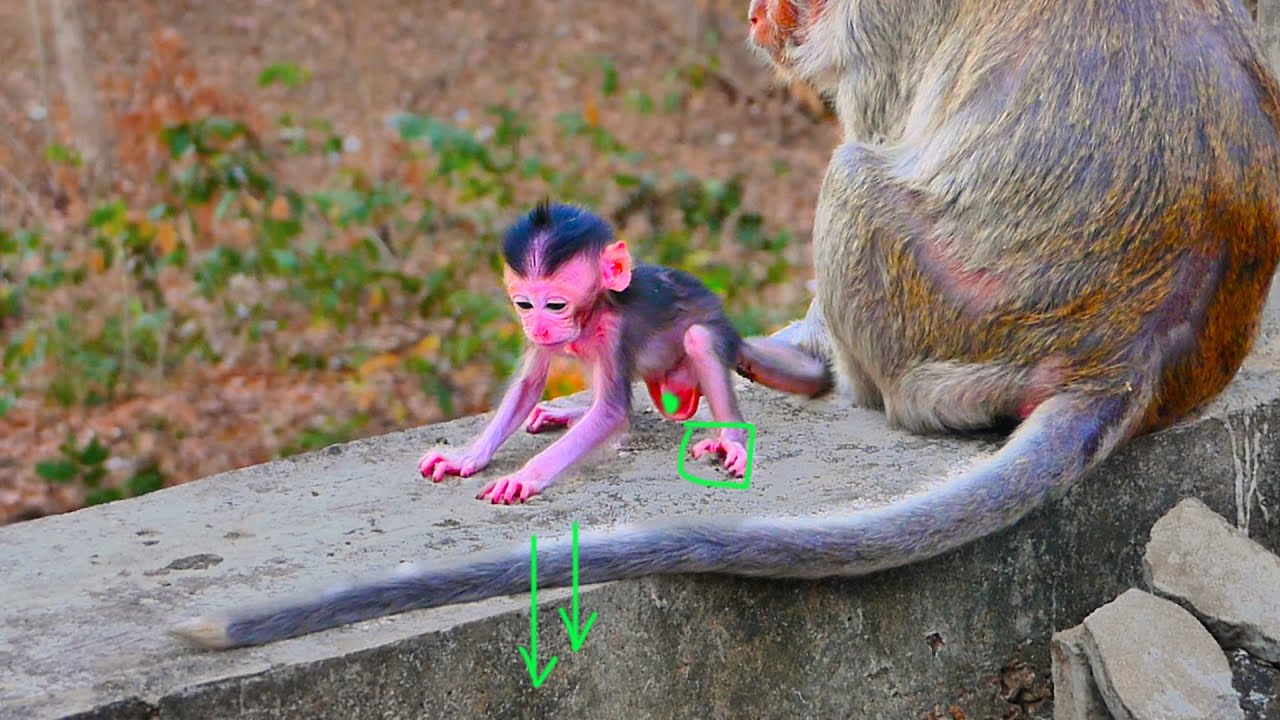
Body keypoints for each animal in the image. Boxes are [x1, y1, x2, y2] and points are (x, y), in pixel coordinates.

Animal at [416, 200, 831, 505]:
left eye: (555, 305)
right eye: (524, 305)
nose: (539, 327)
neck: (592, 313)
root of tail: (731, 330)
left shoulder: (615, 332)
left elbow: (612, 412)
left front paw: (524, 476)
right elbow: (527, 387)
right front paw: (467, 456)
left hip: (704, 345)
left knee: (698, 339)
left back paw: (730, 438)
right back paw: (570, 413)